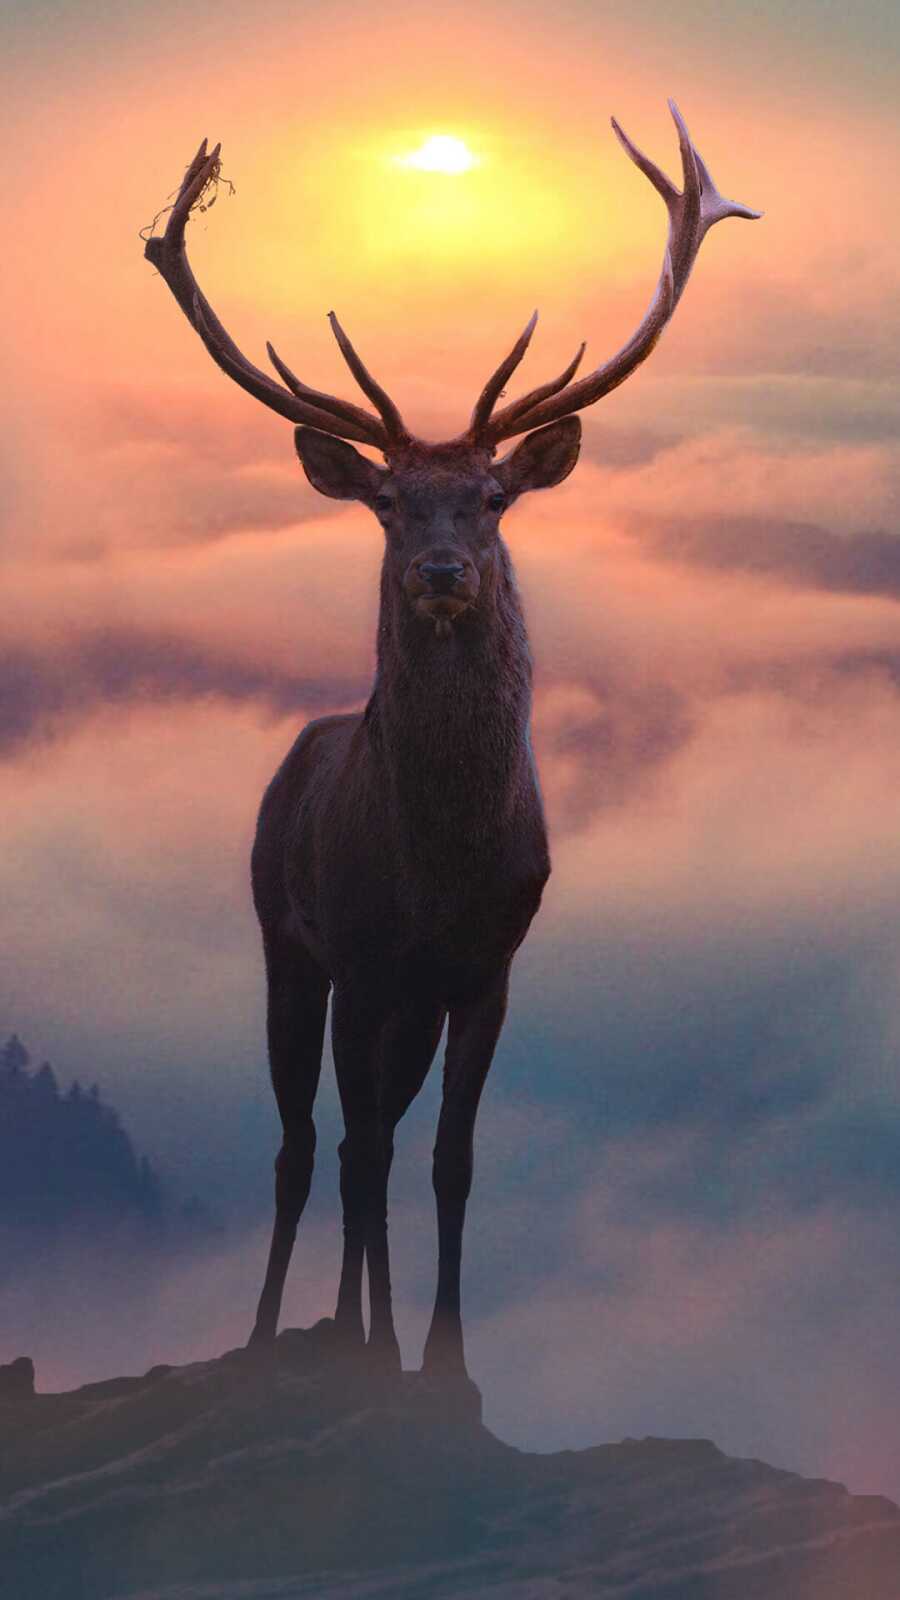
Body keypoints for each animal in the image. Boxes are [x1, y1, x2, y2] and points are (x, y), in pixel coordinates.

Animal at [144, 103, 759, 1379]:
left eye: (491, 497)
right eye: (389, 504)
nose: (439, 571)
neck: (442, 867)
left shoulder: (487, 965)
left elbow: (450, 1160)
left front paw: (443, 1354)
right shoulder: (367, 954)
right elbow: (364, 1151)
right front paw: (372, 1345)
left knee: (362, 1141)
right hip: (286, 940)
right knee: (304, 1145)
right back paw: (284, 1325)